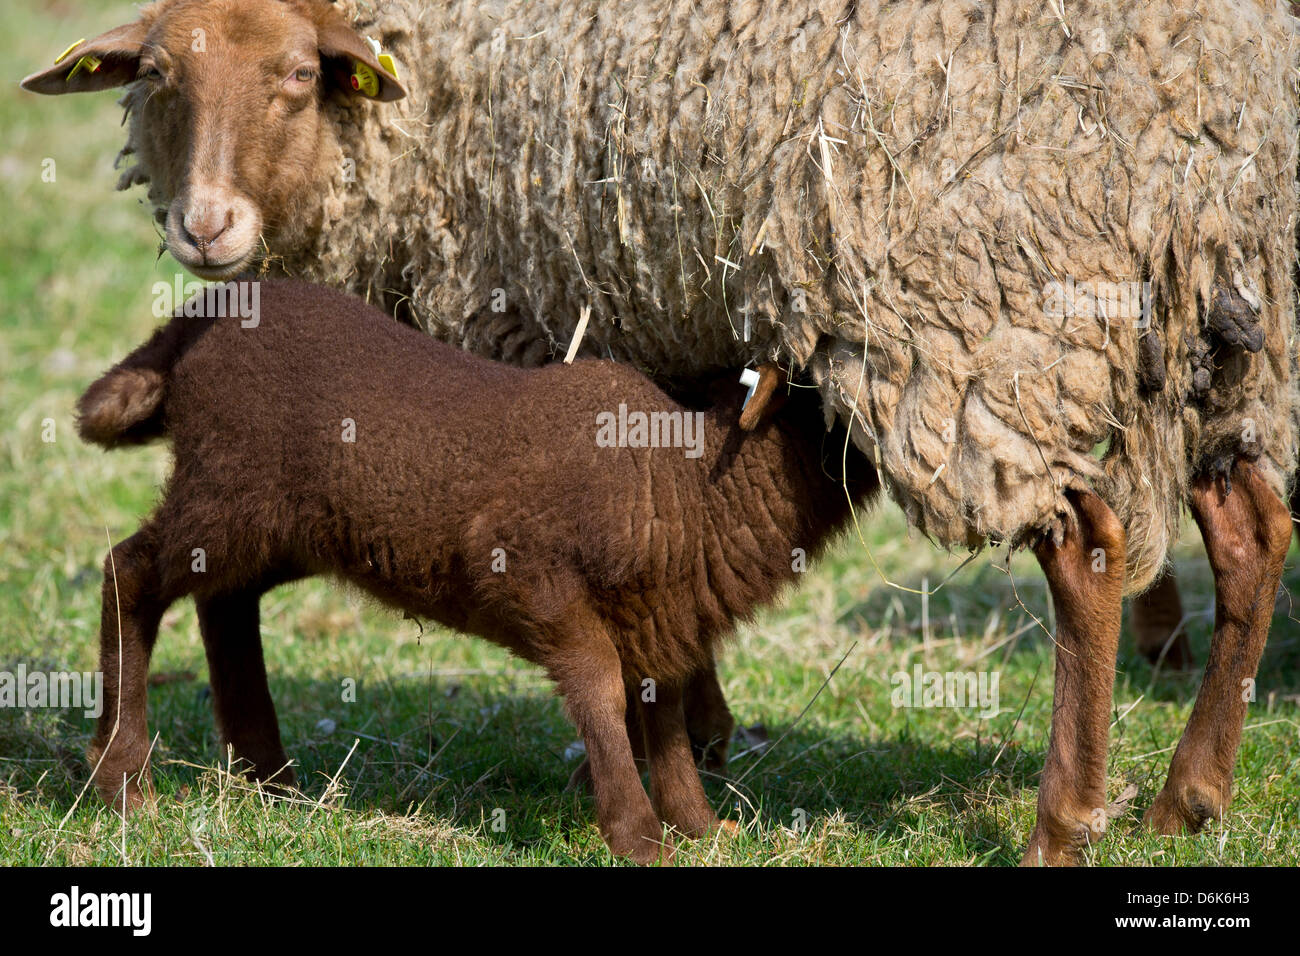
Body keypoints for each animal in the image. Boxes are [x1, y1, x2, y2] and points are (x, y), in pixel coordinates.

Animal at [76, 279, 880, 865]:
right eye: (827, 400)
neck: (682, 480)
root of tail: (192, 323)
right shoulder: (530, 576)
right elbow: (602, 690)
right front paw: (636, 835)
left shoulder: (659, 615)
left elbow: (666, 712)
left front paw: (699, 827)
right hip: (226, 488)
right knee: (130, 574)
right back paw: (122, 779)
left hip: (279, 528)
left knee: (225, 603)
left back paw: (270, 777)